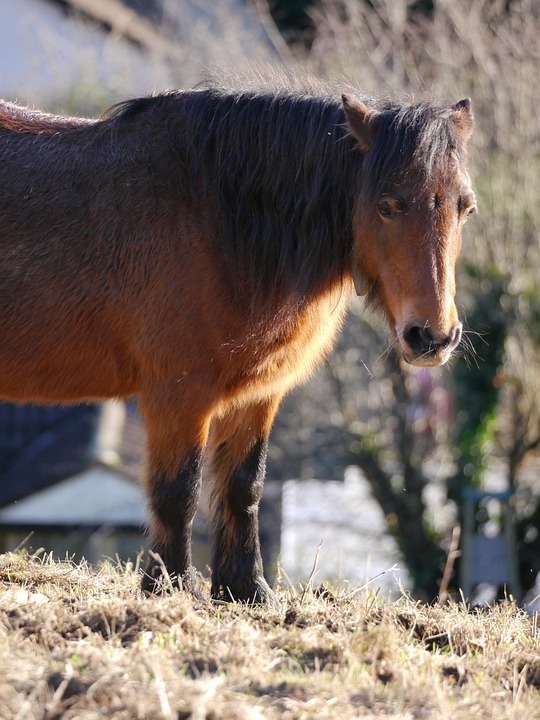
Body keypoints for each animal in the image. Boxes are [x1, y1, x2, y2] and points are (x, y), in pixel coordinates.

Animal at [0, 71, 476, 603]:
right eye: (388, 205)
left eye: (466, 207)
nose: (432, 337)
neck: (213, 222)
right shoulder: (178, 394)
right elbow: (179, 490)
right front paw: (171, 585)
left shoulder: (259, 393)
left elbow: (243, 486)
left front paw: (245, 588)